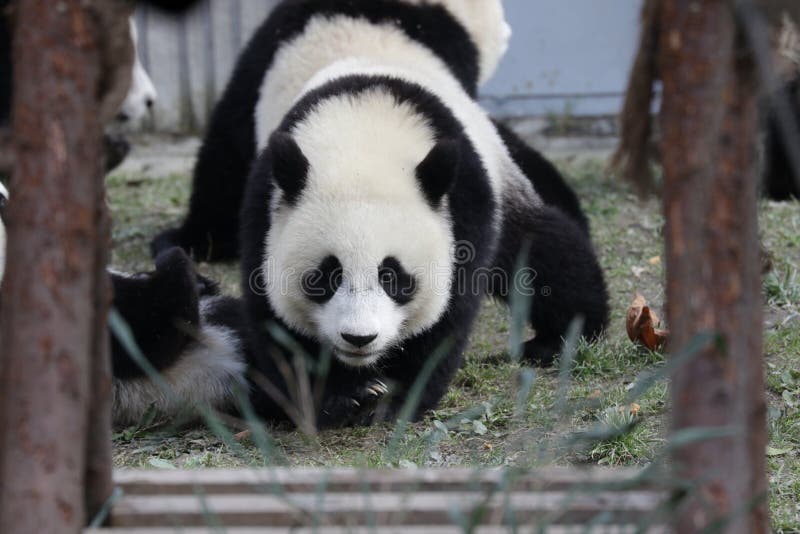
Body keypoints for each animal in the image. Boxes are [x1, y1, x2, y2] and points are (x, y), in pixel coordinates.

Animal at [147, 0, 609, 429]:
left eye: (394, 277)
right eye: (323, 277)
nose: (359, 338)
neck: (363, 130)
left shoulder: (464, 200)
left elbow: (447, 314)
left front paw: (395, 397)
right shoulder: (265, 206)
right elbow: (276, 318)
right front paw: (340, 396)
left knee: (541, 249)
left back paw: (562, 335)